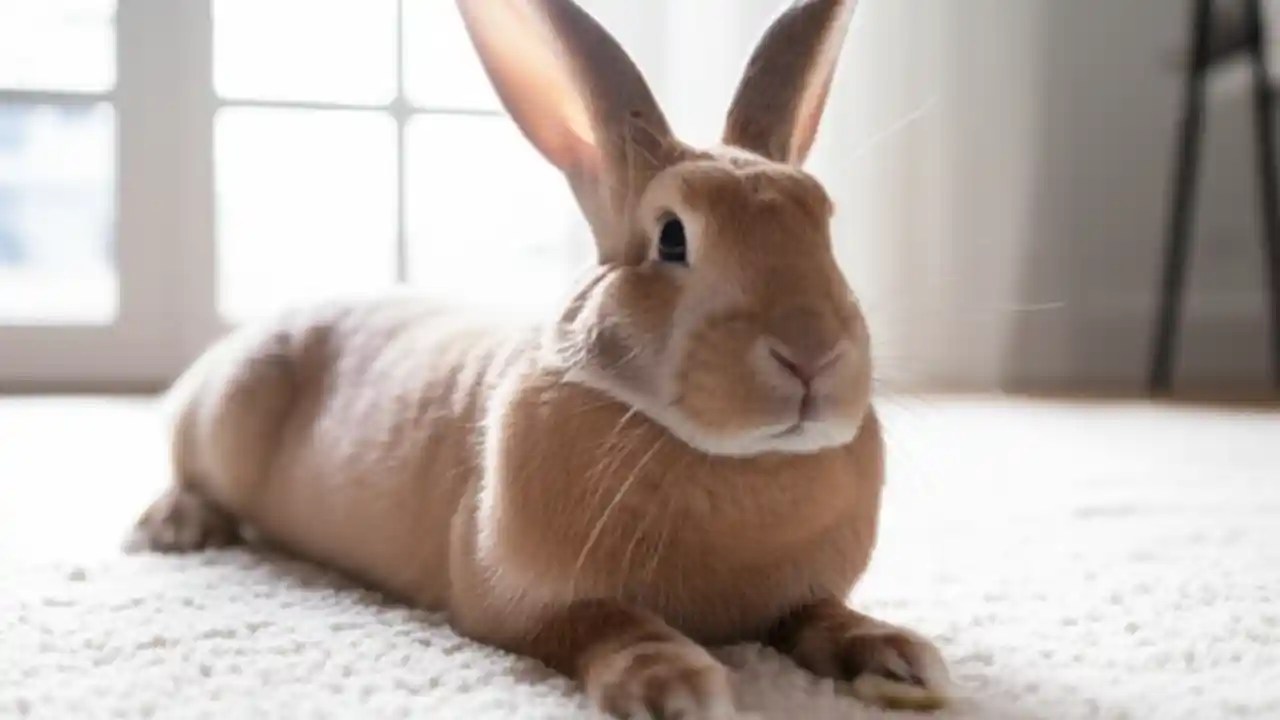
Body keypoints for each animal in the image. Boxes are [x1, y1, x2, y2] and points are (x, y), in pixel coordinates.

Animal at [127, 0, 951, 717]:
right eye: (672, 238)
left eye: (826, 226)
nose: (813, 355)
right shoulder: (519, 601)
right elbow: (608, 624)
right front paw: (676, 688)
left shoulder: (799, 597)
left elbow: (822, 615)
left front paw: (899, 659)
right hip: (226, 417)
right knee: (191, 472)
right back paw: (175, 527)